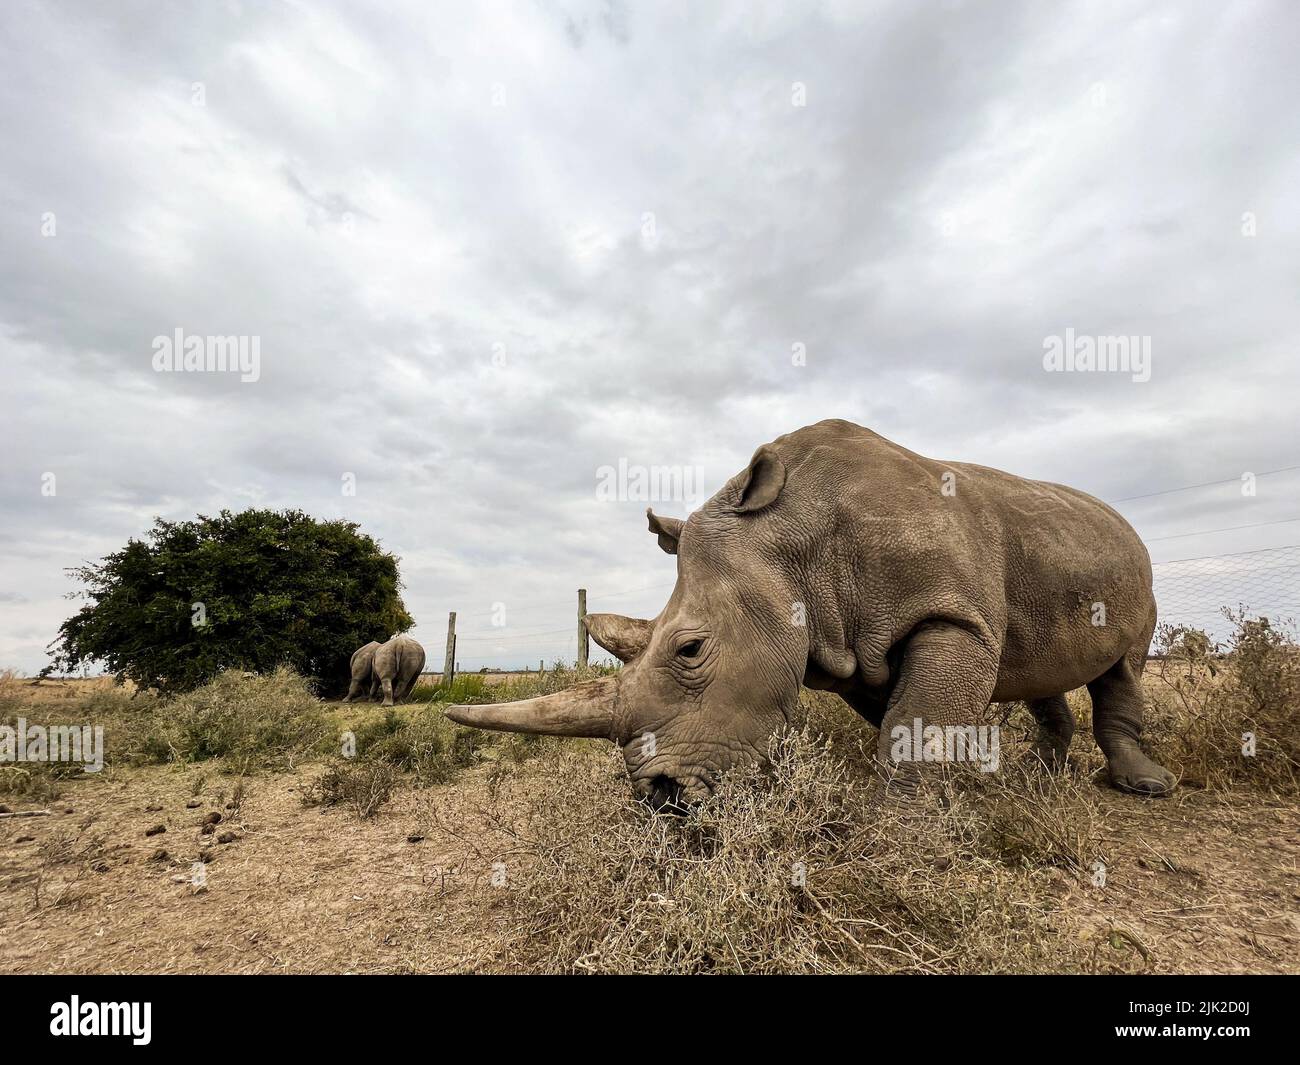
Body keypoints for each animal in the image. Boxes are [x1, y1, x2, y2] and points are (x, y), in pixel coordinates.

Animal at [447, 419, 1176, 806]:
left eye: (690, 649)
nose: (660, 796)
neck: (796, 542)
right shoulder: (851, 646)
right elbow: (903, 719)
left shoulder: (950, 617)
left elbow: (914, 725)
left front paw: (903, 833)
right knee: (1036, 666)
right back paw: (1036, 778)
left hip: (1138, 565)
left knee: (1125, 667)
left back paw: (1145, 788)